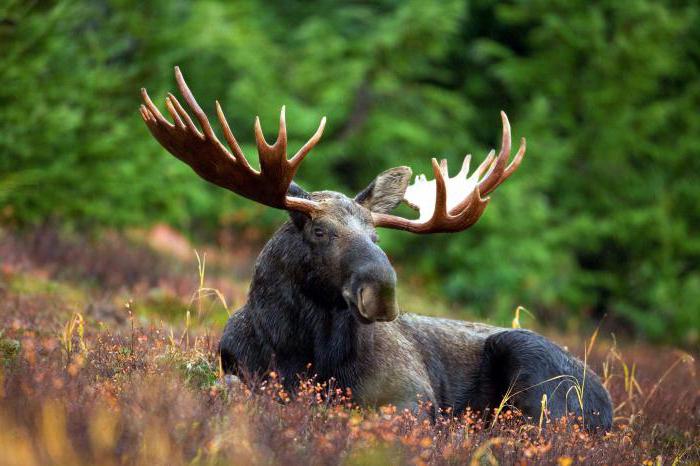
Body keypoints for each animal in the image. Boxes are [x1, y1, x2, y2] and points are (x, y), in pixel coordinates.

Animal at [141, 66, 612, 430]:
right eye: (320, 231)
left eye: (376, 237)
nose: (382, 291)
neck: (301, 351)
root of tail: (608, 406)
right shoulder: (238, 369)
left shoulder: (412, 394)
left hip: (536, 373)